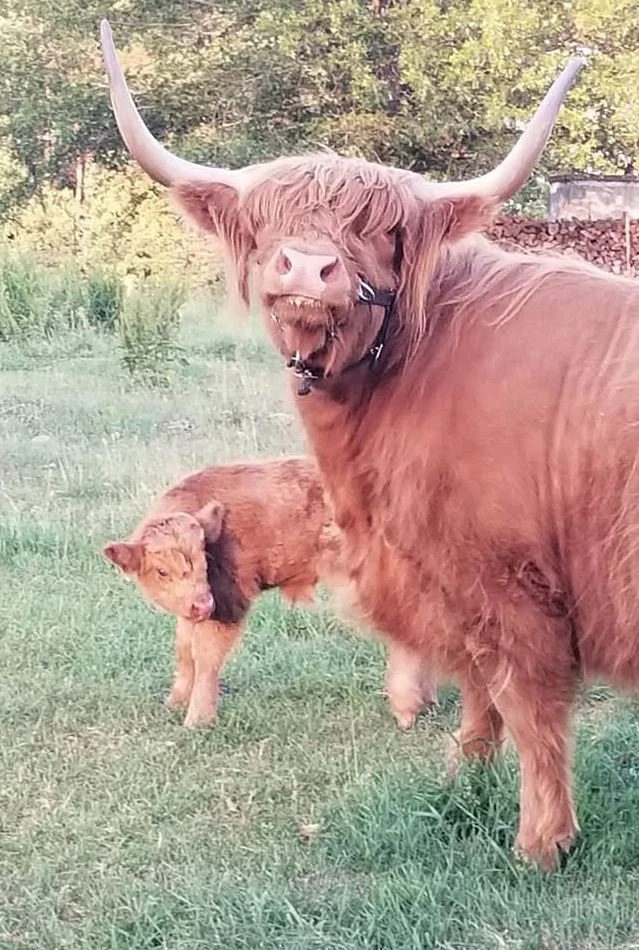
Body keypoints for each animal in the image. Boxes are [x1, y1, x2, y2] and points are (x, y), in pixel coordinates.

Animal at [103, 456, 437, 728]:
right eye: (162, 571)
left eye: (204, 559)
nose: (203, 604)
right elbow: (184, 649)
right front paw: (175, 701)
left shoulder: (227, 604)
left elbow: (206, 656)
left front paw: (197, 720)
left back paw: (406, 710)